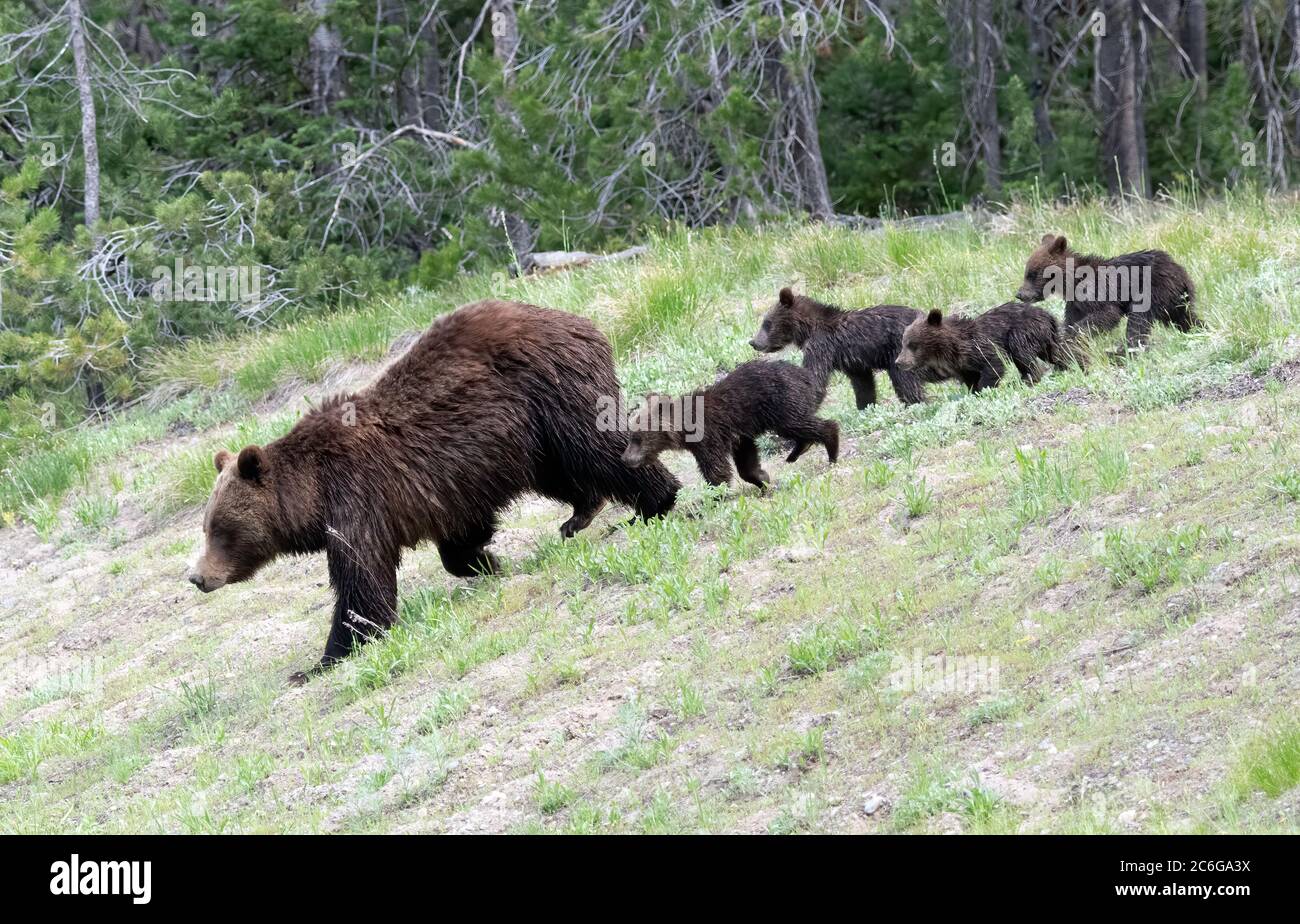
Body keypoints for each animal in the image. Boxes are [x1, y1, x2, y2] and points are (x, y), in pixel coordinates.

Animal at [187, 300, 680, 682]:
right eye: (208, 526)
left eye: (220, 529)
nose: (197, 576)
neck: (312, 493)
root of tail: (582, 321)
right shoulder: (443, 487)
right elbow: (459, 535)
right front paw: (486, 560)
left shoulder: (356, 498)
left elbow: (362, 583)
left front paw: (323, 660)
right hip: (534, 434)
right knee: (564, 469)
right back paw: (580, 513)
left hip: (550, 391)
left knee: (597, 448)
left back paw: (655, 503)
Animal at [620, 360, 838, 490]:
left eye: (637, 438)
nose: (625, 458)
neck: (684, 429)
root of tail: (804, 375)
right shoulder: (738, 436)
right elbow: (746, 461)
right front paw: (762, 478)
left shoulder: (709, 434)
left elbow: (715, 467)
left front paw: (717, 494)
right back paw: (798, 451)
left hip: (781, 403)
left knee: (799, 424)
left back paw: (832, 449)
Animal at [749, 287, 928, 407]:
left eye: (766, 323)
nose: (753, 342)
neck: (807, 330)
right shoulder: (853, 363)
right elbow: (863, 386)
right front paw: (865, 406)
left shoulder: (821, 347)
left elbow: (815, 379)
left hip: (901, 352)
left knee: (905, 381)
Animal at [895, 302, 1069, 392]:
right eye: (903, 342)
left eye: (912, 344)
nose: (899, 362)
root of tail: (1047, 314)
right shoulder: (962, 366)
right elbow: (969, 379)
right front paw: (974, 391)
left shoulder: (977, 347)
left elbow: (993, 364)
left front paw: (985, 388)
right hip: (1045, 336)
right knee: (1055, 353)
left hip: (1021, 331)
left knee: (1022, 353)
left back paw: (1027, 379)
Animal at [1016, 234, 1199, 351]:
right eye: (1027, 272)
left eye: (1032, 274)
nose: (1019, 294)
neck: (1073, 282)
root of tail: (1179, 269)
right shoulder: (1075, 304)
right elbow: (1069, 322)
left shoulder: (1097, 291)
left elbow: (1106, 314)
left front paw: (1076, 336)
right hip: (1175, 298)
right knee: (1184, 317)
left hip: (1153, 290)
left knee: (1139, 320)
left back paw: (1126, 349)